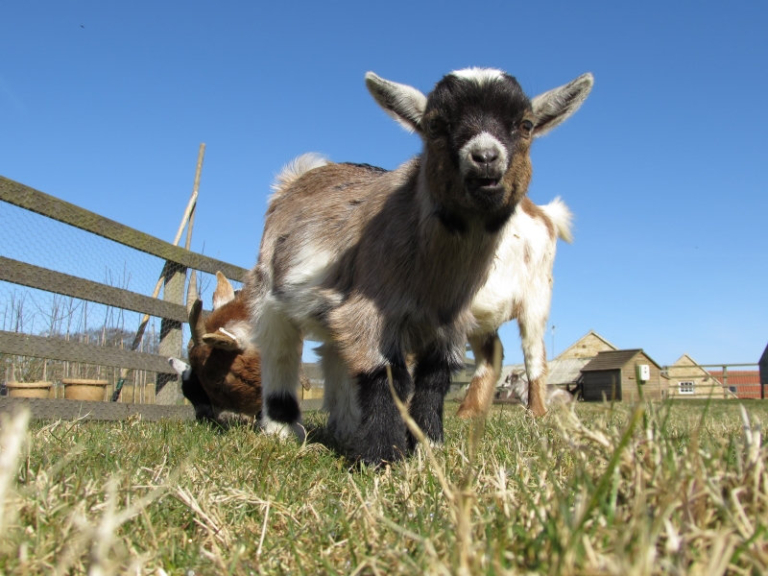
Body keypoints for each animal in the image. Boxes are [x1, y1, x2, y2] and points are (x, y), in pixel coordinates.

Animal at [456, 196, 574, 418]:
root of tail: (542, 212)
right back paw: (467, 413)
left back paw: (535, 413)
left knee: (535, 354)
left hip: (536, 300)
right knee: (492, 354)